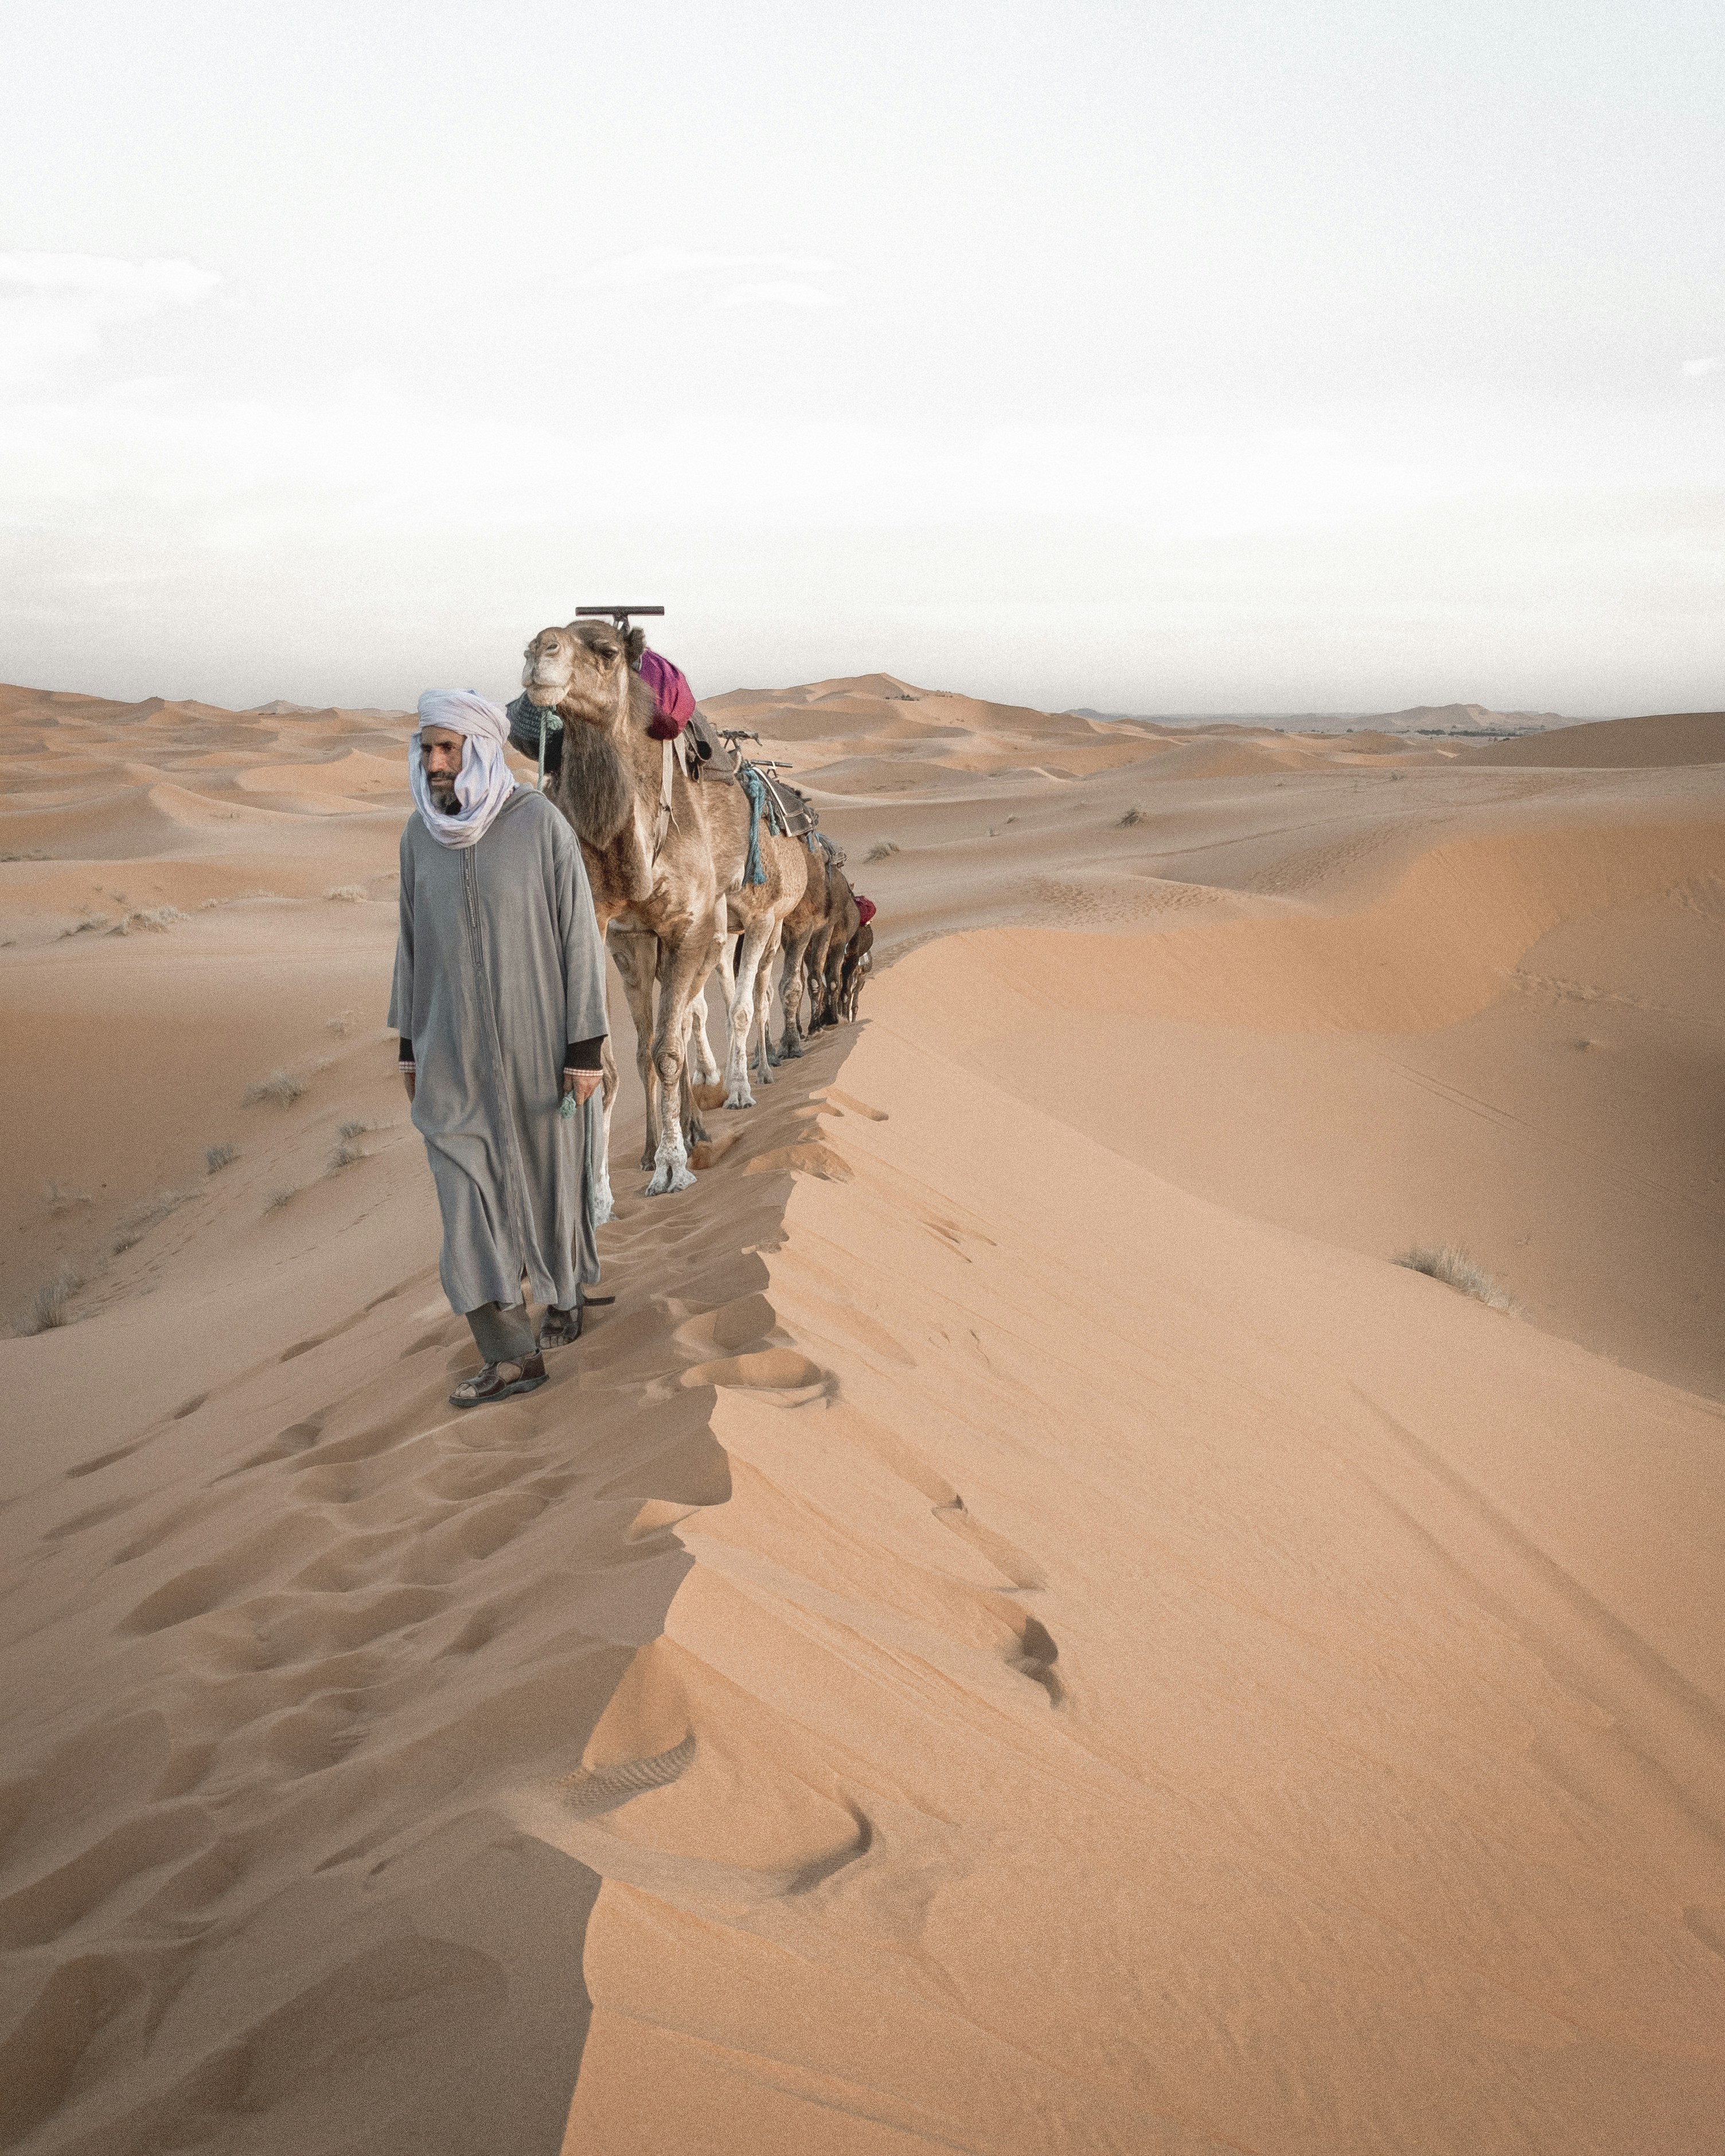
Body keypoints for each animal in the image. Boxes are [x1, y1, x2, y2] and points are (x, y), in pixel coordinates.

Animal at [520, 620, 805, 1197]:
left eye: (606, 651)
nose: (540, 649)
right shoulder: (614, 932)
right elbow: (611, 1063)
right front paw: (599, 1193)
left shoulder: (697, 926)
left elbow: (680, 1044)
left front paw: (676, 1165)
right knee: (664, 1030)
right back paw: (665, 1141)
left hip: (730, 931)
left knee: (718, 1009)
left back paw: (718, 1107)